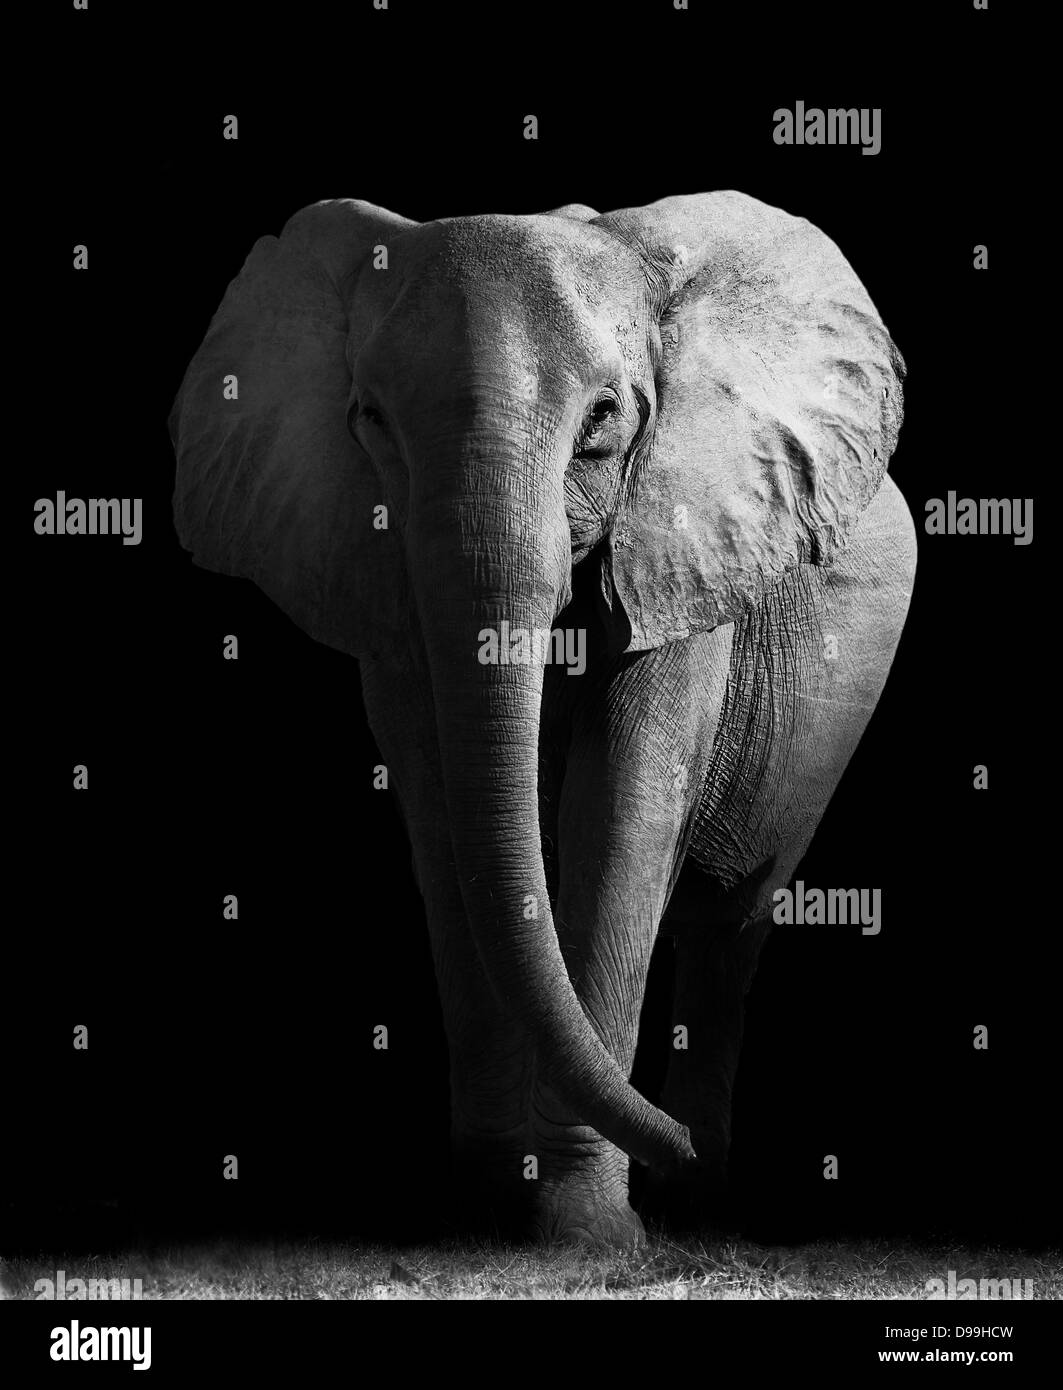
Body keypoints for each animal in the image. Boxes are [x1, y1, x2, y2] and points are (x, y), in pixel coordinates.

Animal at [169, 190, 916, 1247]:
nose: (674, 1148)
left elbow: (620, 818)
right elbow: (445, 826)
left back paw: (697, 1200)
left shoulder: (682, 544)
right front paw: (488, 1216)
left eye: (603, 418)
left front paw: (587, 1236)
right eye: (370, 419)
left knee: (729, 926)